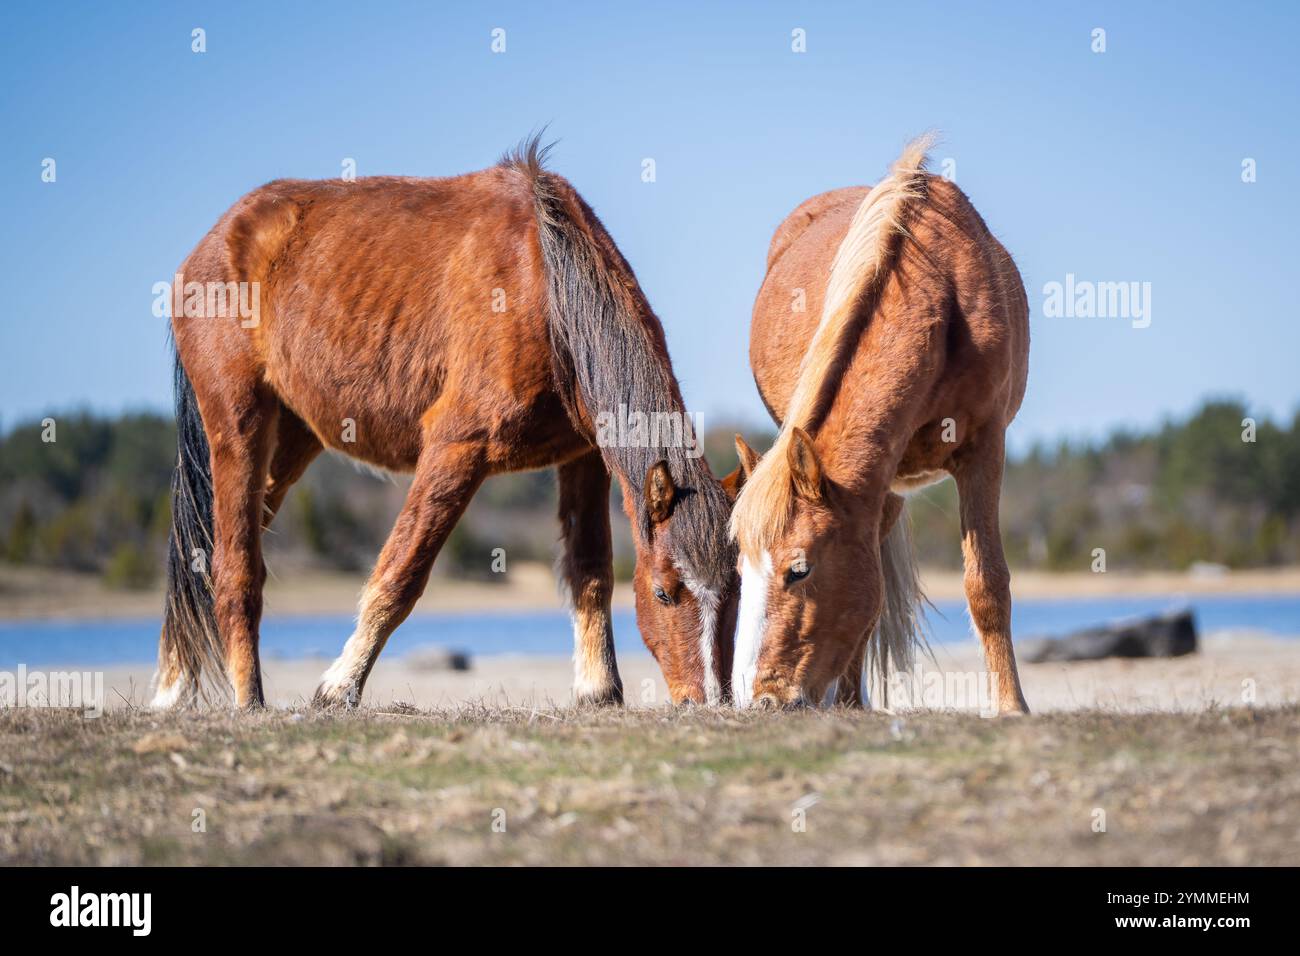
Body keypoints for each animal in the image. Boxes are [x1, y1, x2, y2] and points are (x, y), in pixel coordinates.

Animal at [153, 137, 738, 710]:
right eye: (664, 591)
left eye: (735, 589)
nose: (709, 701)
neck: (547, 284)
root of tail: (219, 237)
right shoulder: (457, 447)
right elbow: (401, 573)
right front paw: (338, 687)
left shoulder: (584, 457)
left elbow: (590, 571)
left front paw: (598, 690)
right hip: (239, 424)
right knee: (234, 565)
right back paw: (245, 698)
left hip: (291, 440)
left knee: (204, 555)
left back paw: (170, 688)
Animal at [728, 135, 1031, 715]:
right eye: (741, 572)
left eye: (799, 570)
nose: (762, 698)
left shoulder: (984, 449)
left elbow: (987, 584)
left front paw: (1012, 706)